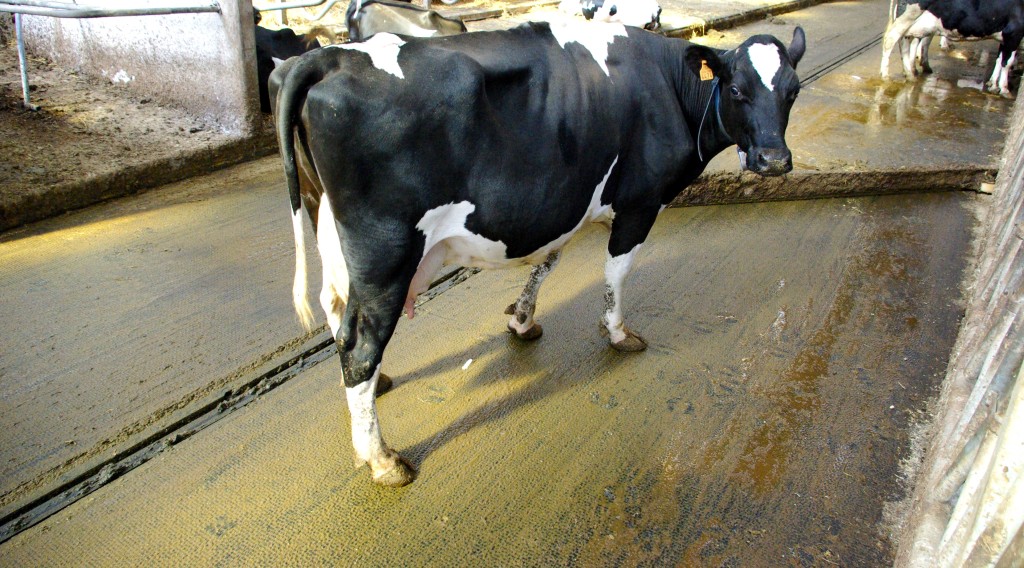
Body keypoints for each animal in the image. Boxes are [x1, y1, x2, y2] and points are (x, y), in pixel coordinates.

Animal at [270, 21, 805, 486]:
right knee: (360, 345)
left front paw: (521, 319)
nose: (775, 160)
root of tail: (325, 56)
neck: (668, 87)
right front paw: (617, 333)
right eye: (736, 90)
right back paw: (382, 459)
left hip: (330, 229)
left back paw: (375, 392)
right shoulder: (640, 203)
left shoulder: (563, 202)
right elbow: (616, 272)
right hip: (386, 251)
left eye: (793, 91)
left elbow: (548, 263)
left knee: (336, 310)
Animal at [880, 0, 1024, 97]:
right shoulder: (1014, 32)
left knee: (905, 41)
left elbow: (1000, 60)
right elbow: (1007, 62)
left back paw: (911, 74)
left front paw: (993, 84)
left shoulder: (1004, 37)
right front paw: (1004, 89)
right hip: (909, 15)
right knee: (891, 39)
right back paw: (886, 76)